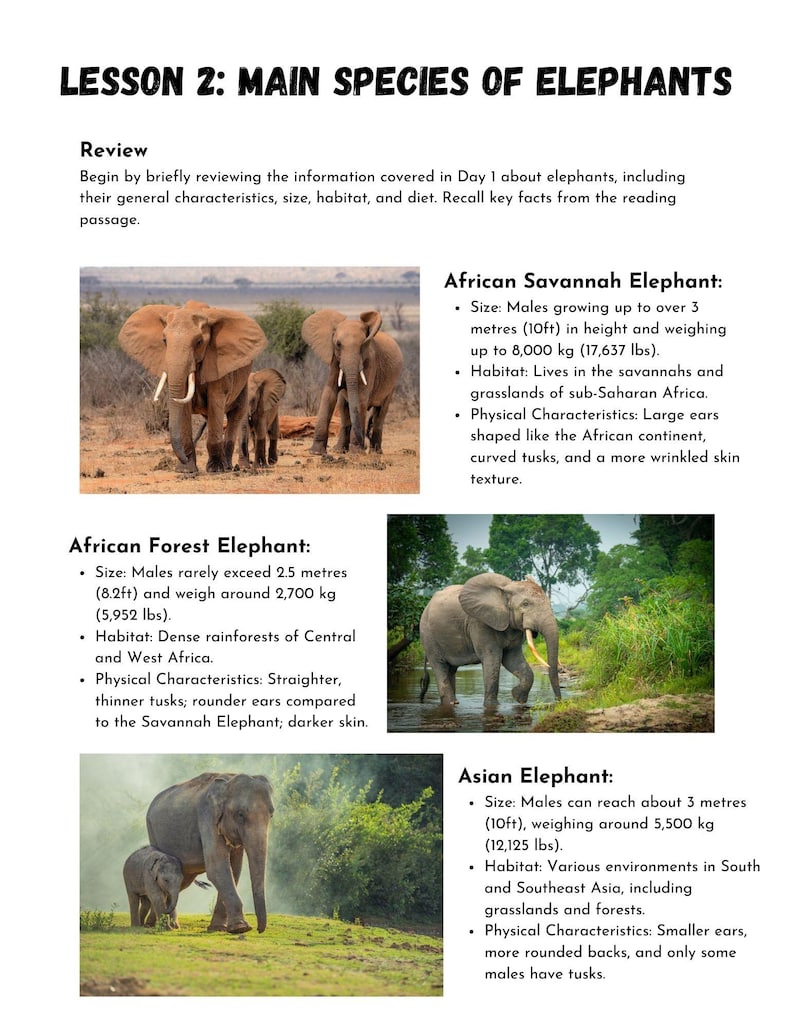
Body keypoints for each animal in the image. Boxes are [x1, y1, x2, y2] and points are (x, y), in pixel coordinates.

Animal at [118, 301, 267, 474]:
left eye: (198, 342)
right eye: (164, 341)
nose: (181, 459)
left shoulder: (216, 363)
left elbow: (216, 401)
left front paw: (215, 469)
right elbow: (184, 406)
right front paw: (186, 470)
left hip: (244, 379)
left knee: (235, 414)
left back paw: (227, 466)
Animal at [147, 772, 274, 934]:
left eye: (271, 815)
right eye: (240, 814)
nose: (259, 930)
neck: (228, 780)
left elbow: (234, 870)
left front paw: (220, 928)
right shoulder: (207, 816)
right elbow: (217, 868)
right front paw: (241, 928)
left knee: (182, 881)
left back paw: (159, 924)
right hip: (152, 832)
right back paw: (160, 925)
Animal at [301, 309, 403, 454]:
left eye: (362, 345)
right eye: (338, 344)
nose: (363, 446)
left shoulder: (370, 362)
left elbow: (360, 398)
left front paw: (356, 453)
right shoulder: (335, 361)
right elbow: (329, 395)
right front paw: (316, 453)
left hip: (392, 384)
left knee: (380, 412)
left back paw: (376, 452)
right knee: (344, 408)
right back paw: (339, 450)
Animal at [419, 572, 561, 707]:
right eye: (525, 604)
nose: (558, 701)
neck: (505, 589)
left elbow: (513, 659)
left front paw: (518, 697)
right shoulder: (480, 623)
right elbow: (493, 659)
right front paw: (492, 706)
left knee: (451, 669)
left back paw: (455, 703)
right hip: (428, 635)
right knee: (440, 666)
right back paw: (450, 703)